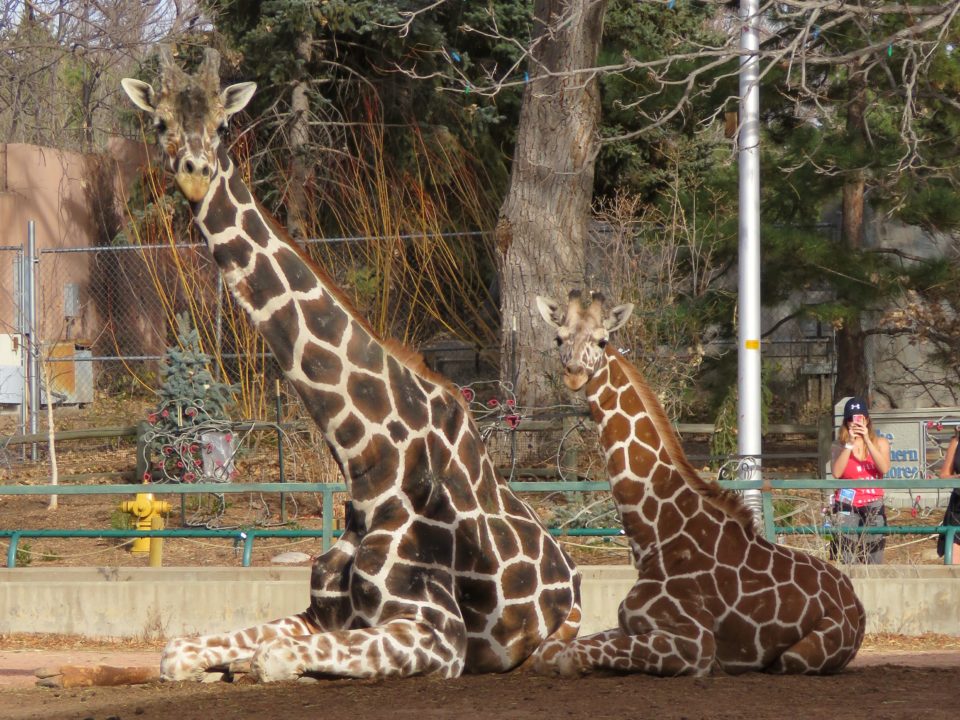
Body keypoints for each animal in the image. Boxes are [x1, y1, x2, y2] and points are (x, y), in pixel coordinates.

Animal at [120, 47, 580, 683]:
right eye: (160, 122)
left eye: (222, 125)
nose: (194, 170)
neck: (368, 461)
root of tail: (573, 574)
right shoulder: (320, 612)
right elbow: (179, 651)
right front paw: (218, 664)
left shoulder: (439, 635)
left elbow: (272, 659)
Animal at [534, 290, 865, 677]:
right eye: (559, 338)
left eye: (602, 341)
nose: (574, 373)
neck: (653, 535)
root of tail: (858, 607)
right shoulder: (629, 623)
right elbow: (549, 653)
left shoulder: (694, 643)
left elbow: (568, 656)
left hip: (797, 656)